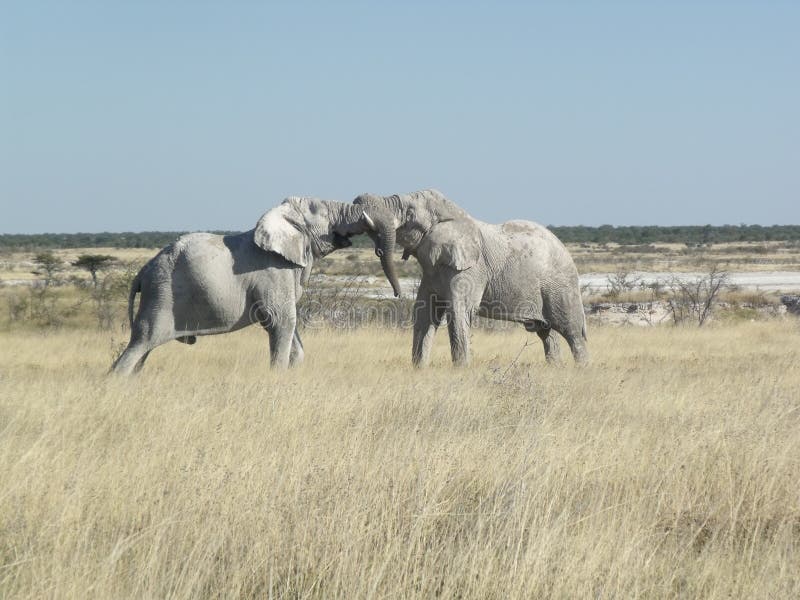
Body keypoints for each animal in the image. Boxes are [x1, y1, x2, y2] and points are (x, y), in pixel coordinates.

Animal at [111, 196, 399, 374]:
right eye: (324, 213)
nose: (396, 294)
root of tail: (143, 271)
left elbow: (290, 327)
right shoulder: (272, 271)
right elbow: (282, 319)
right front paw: (278, 377)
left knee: (143, 351)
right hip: (162, 294)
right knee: (140, 344)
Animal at [353, 189, 588, 366]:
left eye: (409, 214)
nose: (398, 294)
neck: (453, 215)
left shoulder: (469, 269)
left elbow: (459, 312)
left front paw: (461, 370)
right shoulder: (432, 270)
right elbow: (424, 313)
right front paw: (418, 369)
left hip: (560, 286)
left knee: (572, 331)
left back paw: (581, 370)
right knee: (546, 331)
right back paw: (555, 369)